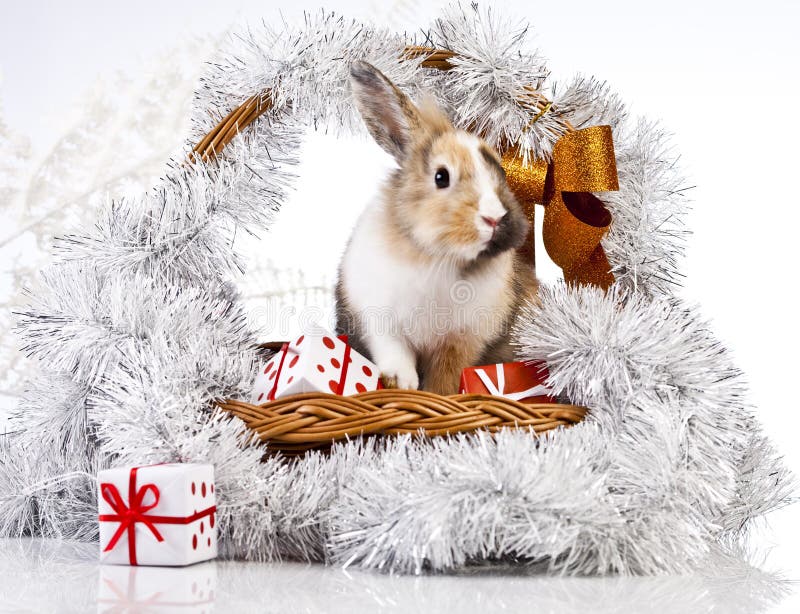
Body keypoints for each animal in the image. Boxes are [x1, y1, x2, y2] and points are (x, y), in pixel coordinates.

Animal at [335, 60, 537, 395]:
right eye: (441, 177)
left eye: (502, 172)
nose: (495, 218)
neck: (439, 258)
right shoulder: (379, 320)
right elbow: (395, 353)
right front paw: (403, 384)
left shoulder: (462, 342)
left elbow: (445, 379)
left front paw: (435, 396)